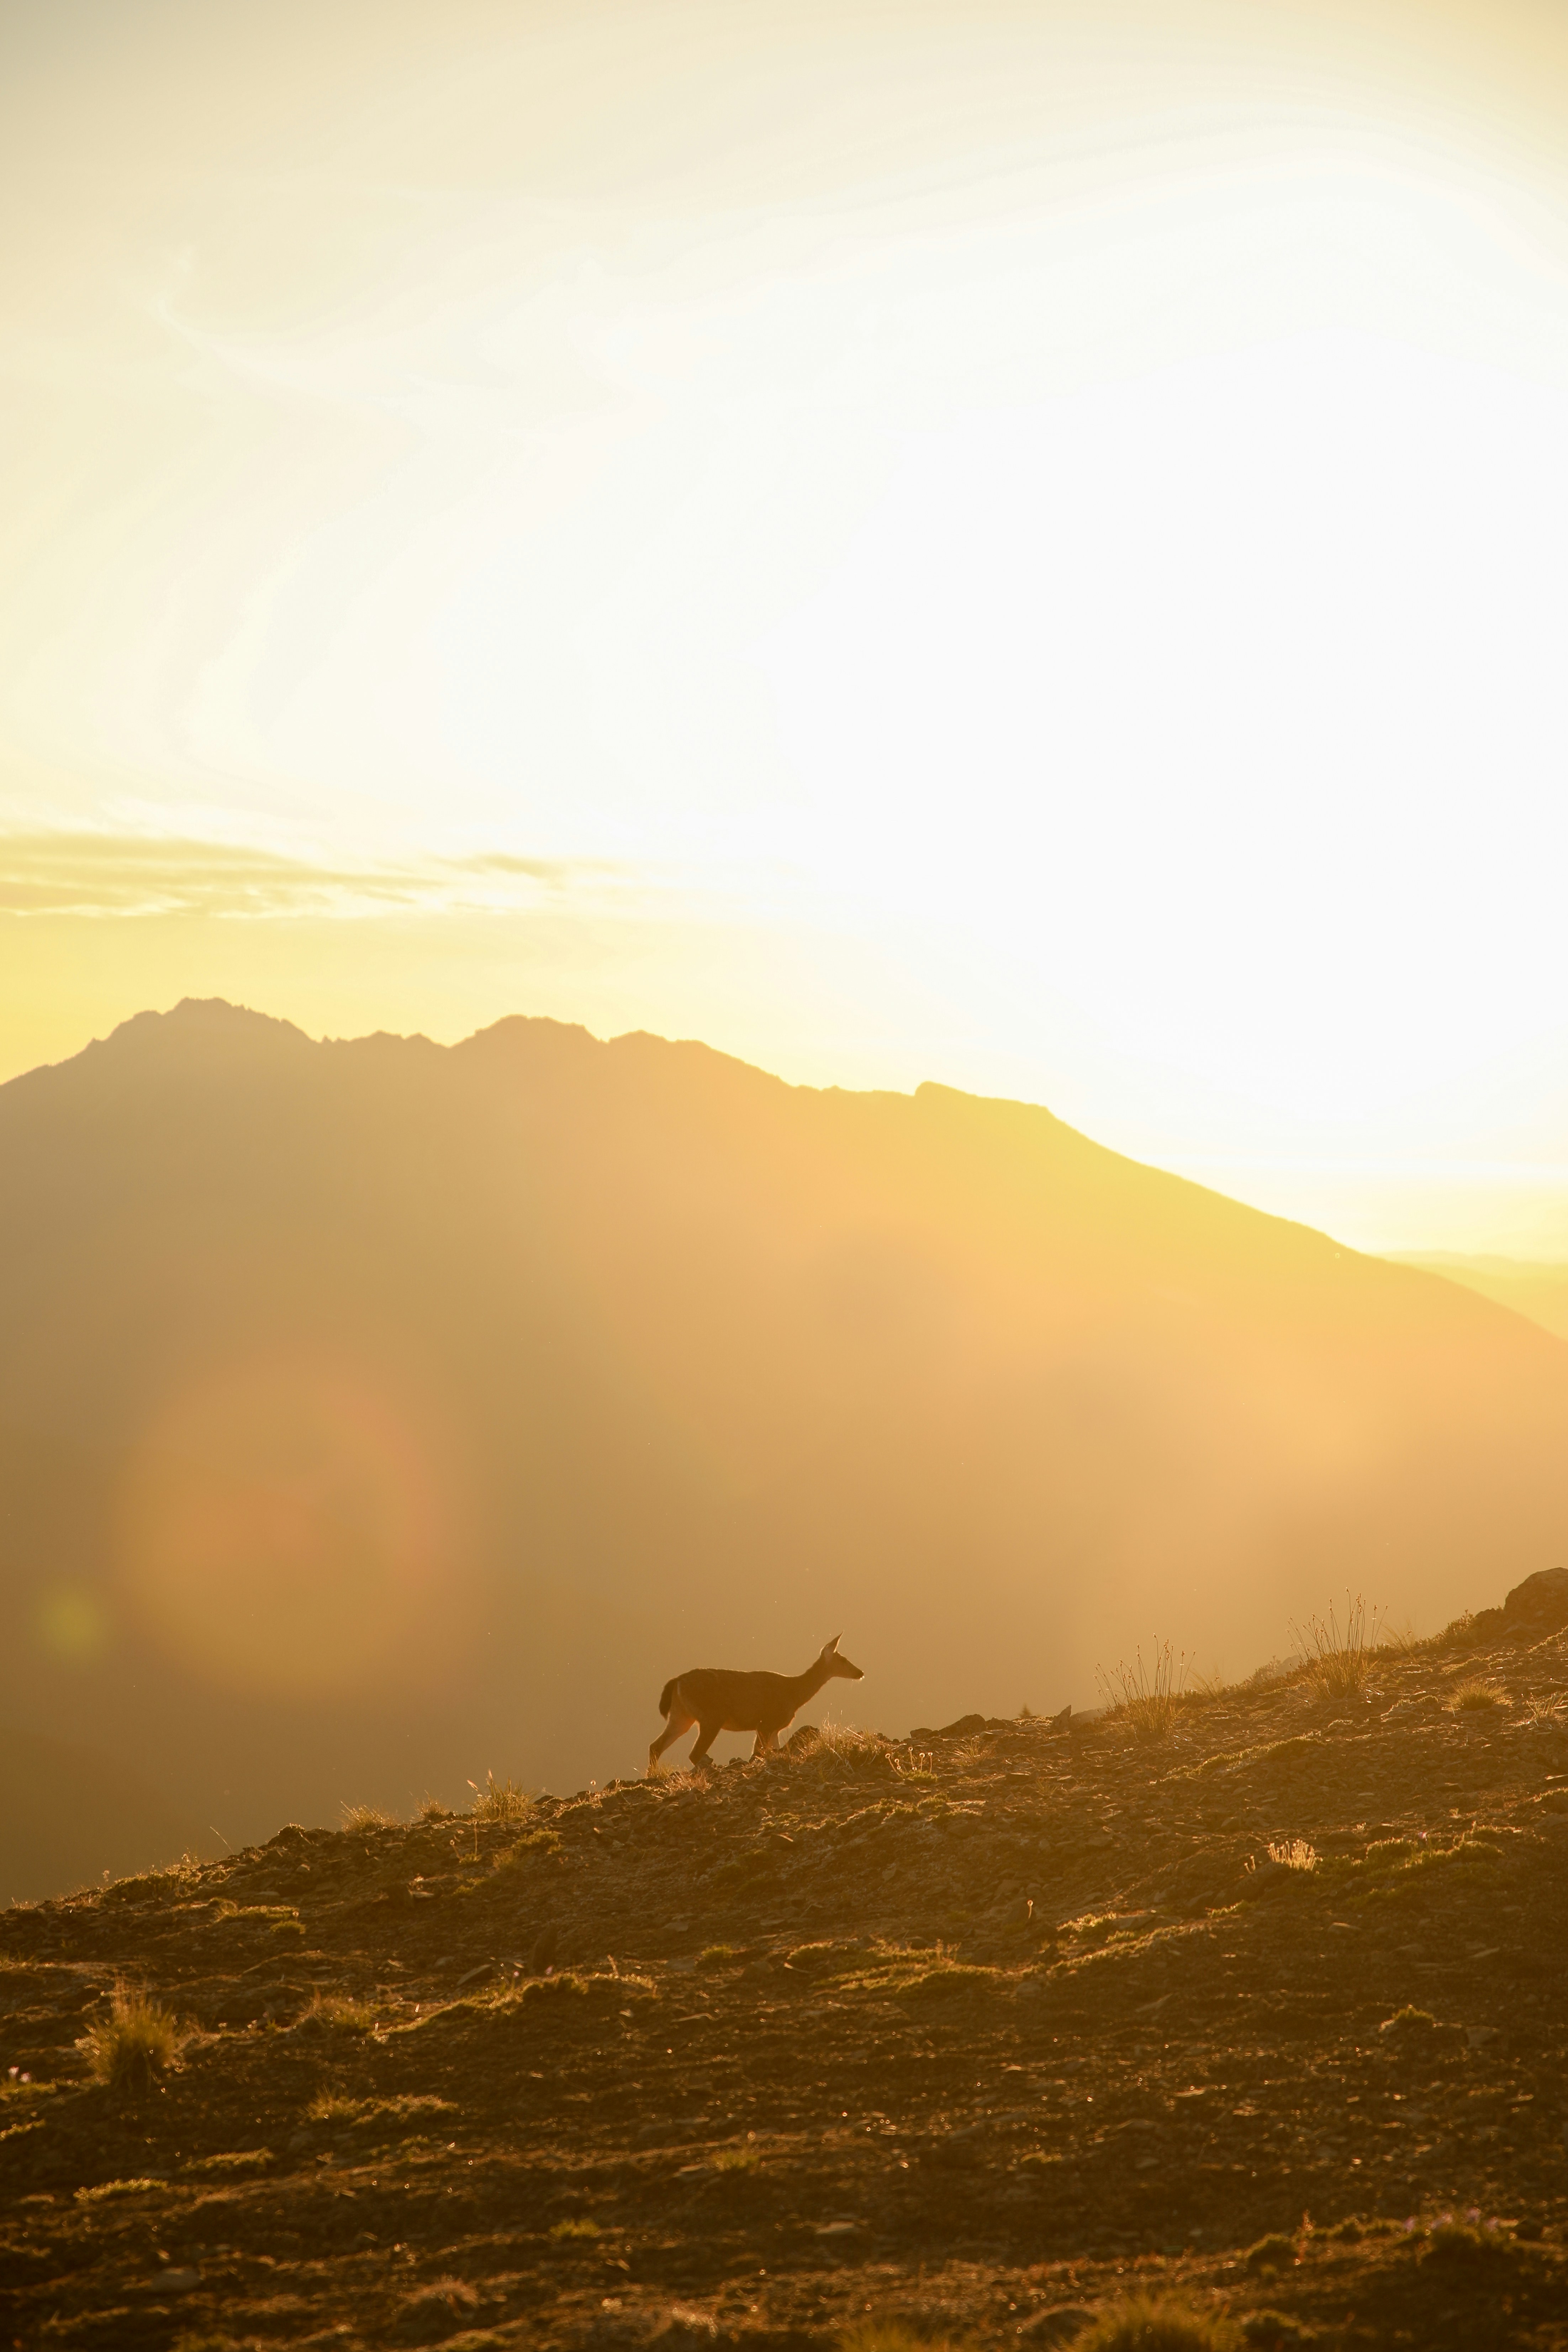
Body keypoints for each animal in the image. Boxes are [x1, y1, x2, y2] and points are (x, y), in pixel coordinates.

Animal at [648, 1635, 865, 1773]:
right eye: (844, 1660)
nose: (861, 1672)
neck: (794, 1694)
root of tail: (677, 1681)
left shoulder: (775, 1729)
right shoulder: (765, 1723)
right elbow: (756, 1754)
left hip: (682, 1716)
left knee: (656, 1746)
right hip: (711, 1717)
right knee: (694, 1754)